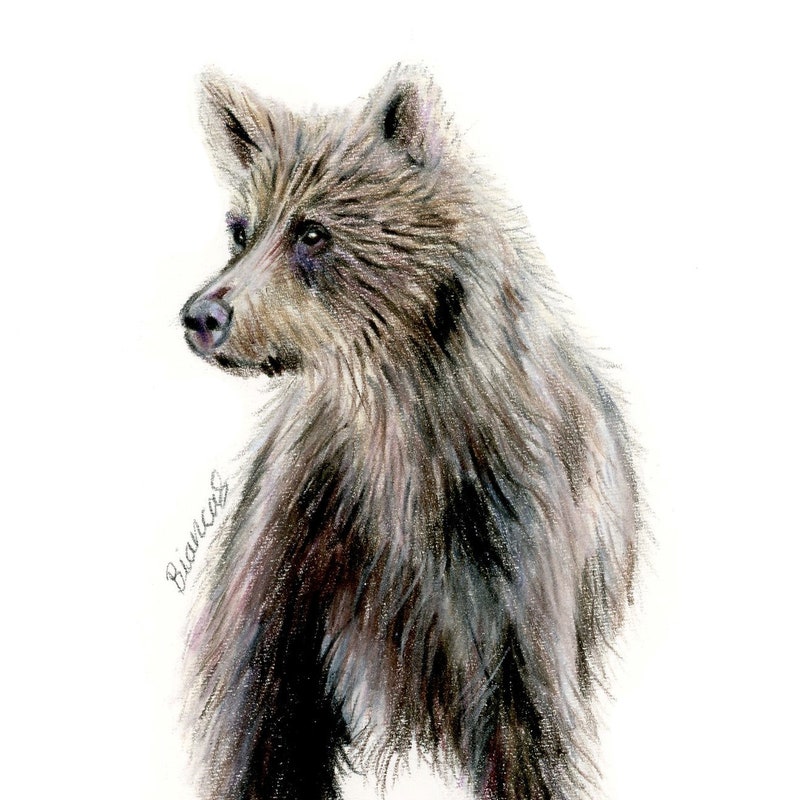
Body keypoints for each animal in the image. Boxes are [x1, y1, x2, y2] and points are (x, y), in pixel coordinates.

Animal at [180, 65, 640, 800]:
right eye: (240, 230)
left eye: (312, 233)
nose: (203, 316)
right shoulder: (304, 565)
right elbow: (261, 738)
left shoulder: (508, 576)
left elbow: (530, 741)